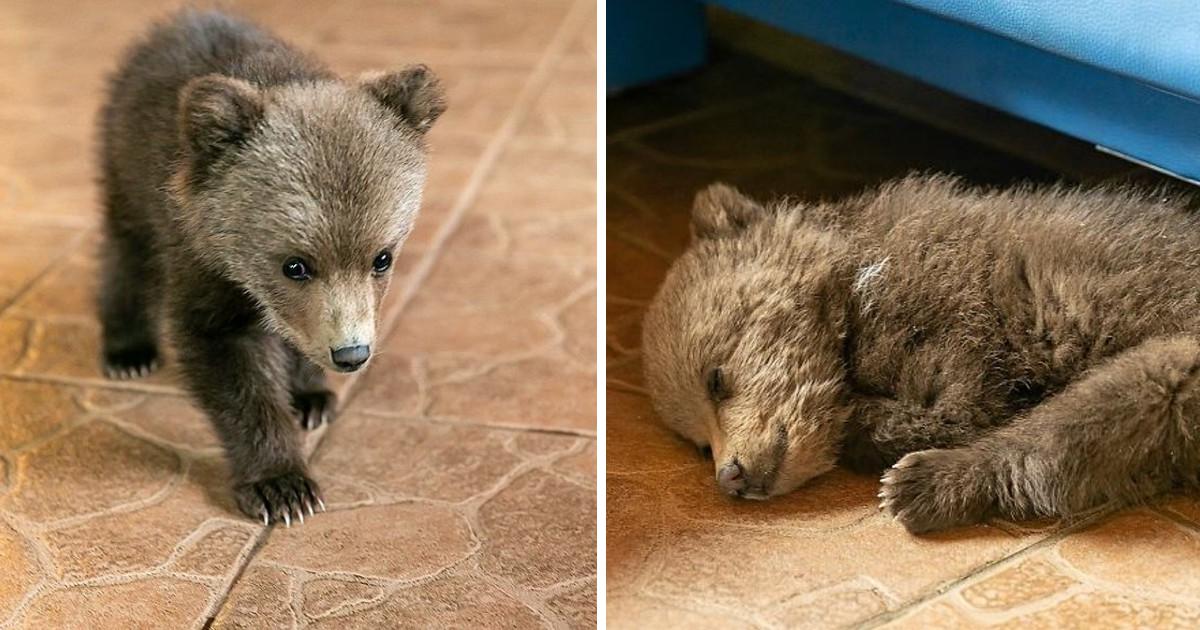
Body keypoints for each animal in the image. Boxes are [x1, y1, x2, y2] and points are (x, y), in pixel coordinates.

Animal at [96, 9, 446, 525]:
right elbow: (230, 367)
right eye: (294, 265)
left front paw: (311, 396)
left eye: (382, 257)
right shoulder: (202, 260)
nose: (352, 354)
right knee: (127, 250)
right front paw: (282, 486)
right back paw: (128, 350)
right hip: (126, 164)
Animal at [642, 174, 1200, 534]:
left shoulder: (959, 317)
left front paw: (864, 425)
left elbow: (962, 408)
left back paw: (924, 484)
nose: (731, 477)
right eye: (698, 445)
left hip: (1175, 346)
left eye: (715, 379)